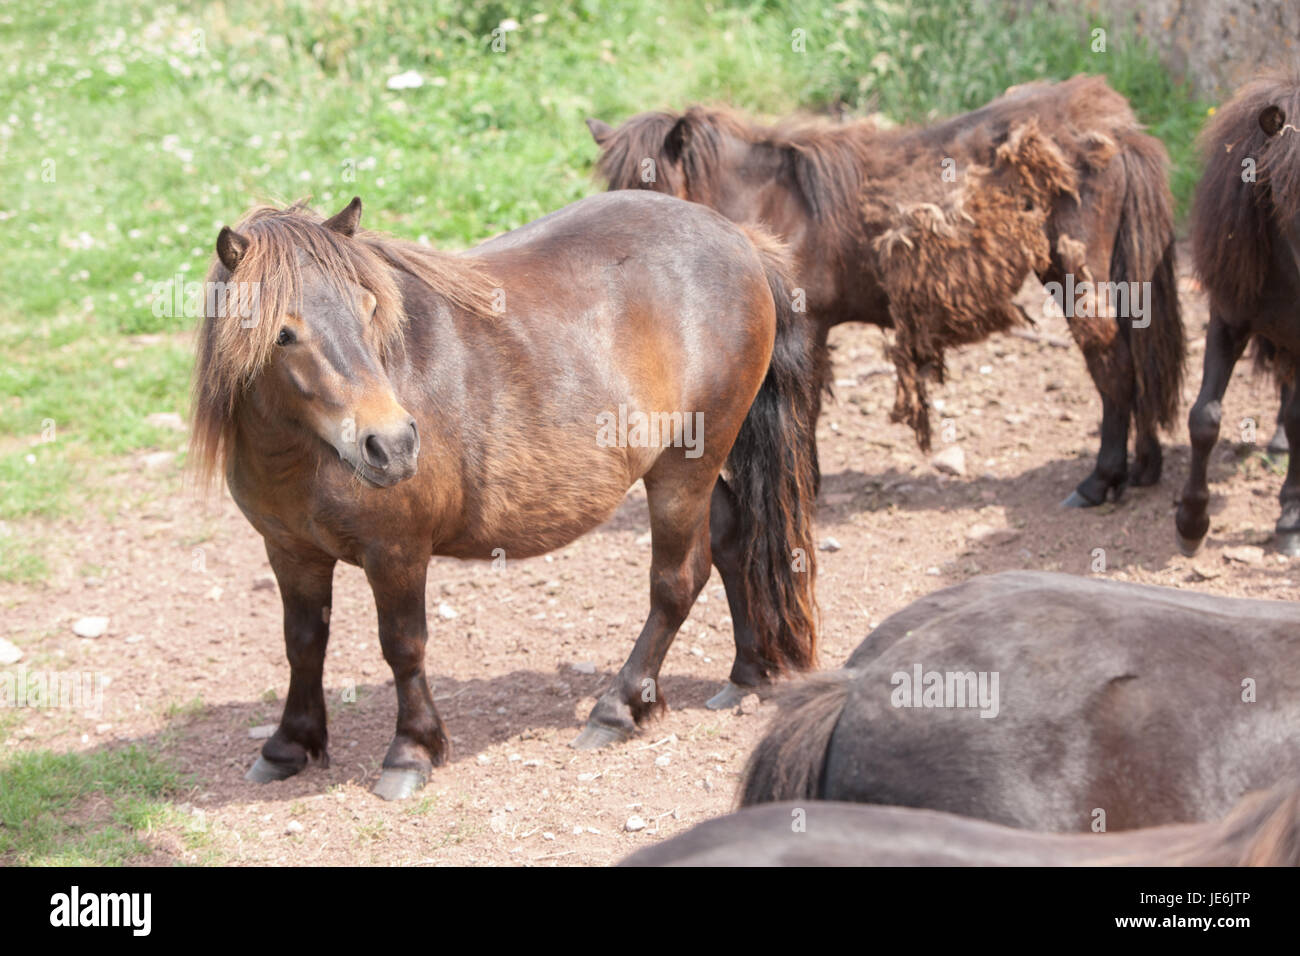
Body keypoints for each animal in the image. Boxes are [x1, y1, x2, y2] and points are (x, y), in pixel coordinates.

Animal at [190, 191, 821, 800]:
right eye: (282, 333)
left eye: (370, 309)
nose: (392, 444)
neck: (304, 452)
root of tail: (739, 238)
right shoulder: (289, 551)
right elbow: (303, 643)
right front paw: (288, 745)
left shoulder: (396, 553)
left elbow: (403, 647)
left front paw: (411, 750)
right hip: (686, 465)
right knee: (733, 540)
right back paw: (746, 674)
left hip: (684, 469)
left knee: (677, 582)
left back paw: (616, 709)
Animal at [589, 74, 1185, 508]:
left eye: (650, 191)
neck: (771, 200)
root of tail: (1115, 127)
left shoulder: (804, 328)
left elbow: (803, 411)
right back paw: (1145, 468)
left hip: (1079, 279)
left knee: (1113, 368)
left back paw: (1100, 481)